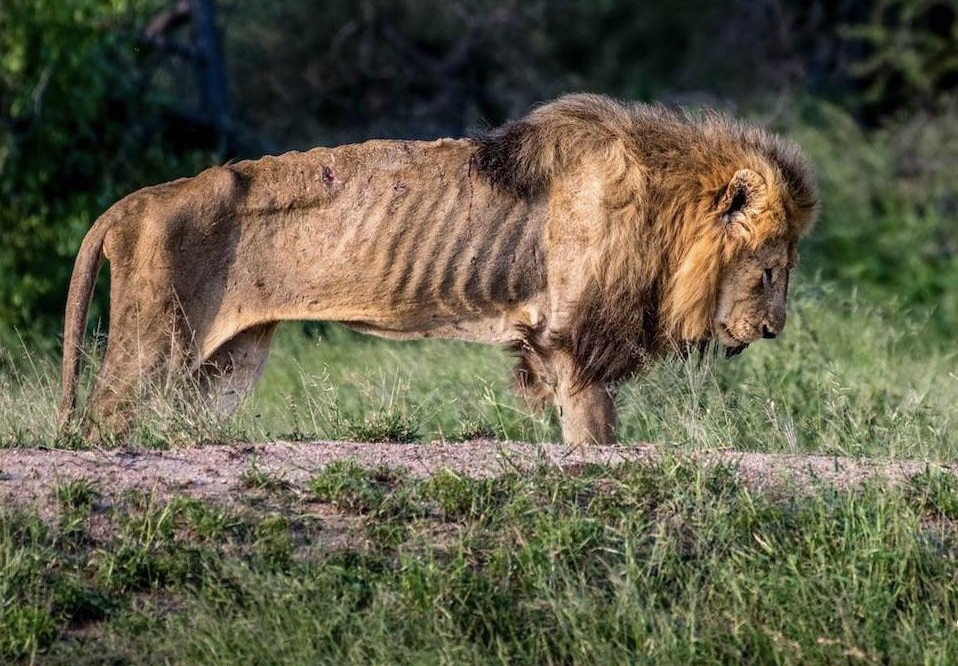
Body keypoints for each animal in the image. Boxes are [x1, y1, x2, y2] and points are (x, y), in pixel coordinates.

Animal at [59, 93, 818, 445]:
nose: (774, 330)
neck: (666, 209)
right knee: (103, 420)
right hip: (153, 346)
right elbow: (594, 432)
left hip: (223, 367)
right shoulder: (576, 339)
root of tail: (133, 202)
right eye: (769, 271)